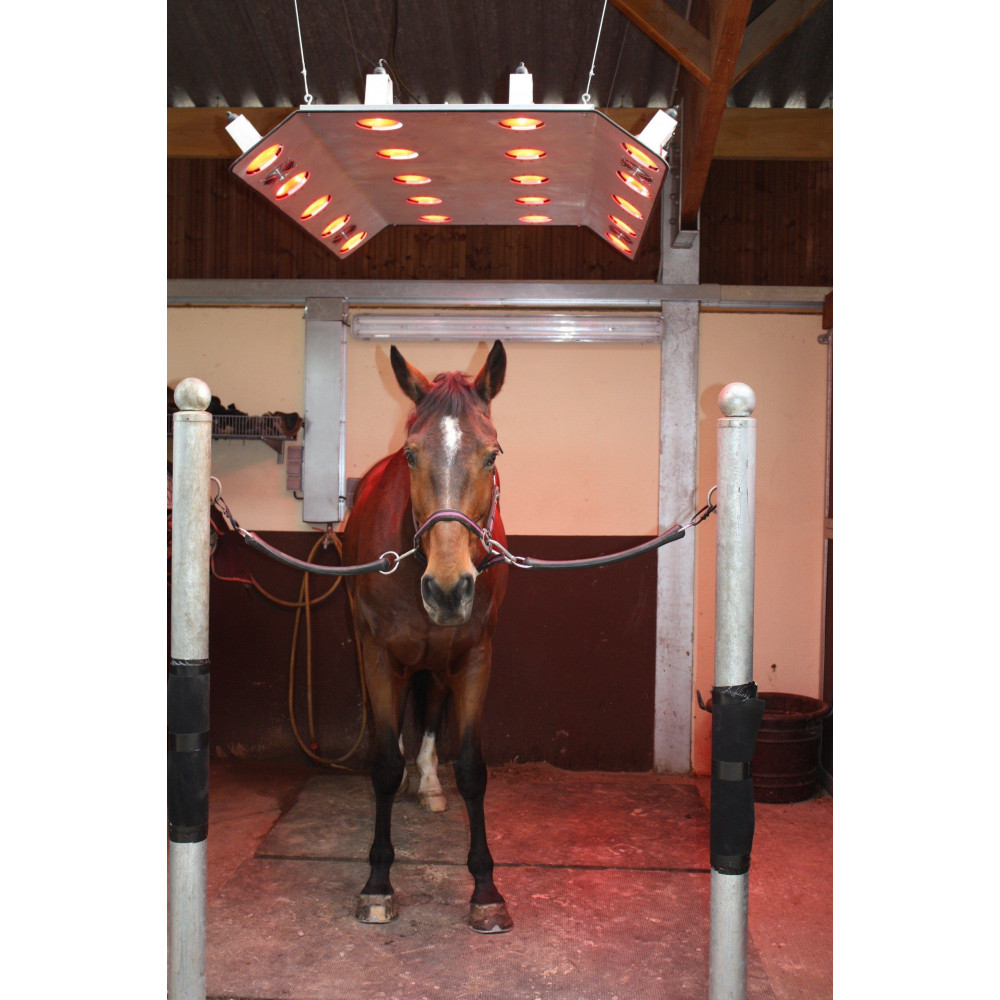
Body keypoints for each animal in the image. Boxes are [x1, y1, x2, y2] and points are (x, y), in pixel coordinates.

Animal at [340, 340, 512, 934]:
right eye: (412, 455)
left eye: (492, 455)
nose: (447, 588)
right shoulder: (377, 656)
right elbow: (383, 765)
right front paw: (377, 883)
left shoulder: (476, 658)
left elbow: (473, 769)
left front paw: (485, 889)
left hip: (439, 661)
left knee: (432, 707)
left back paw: (430, 785)